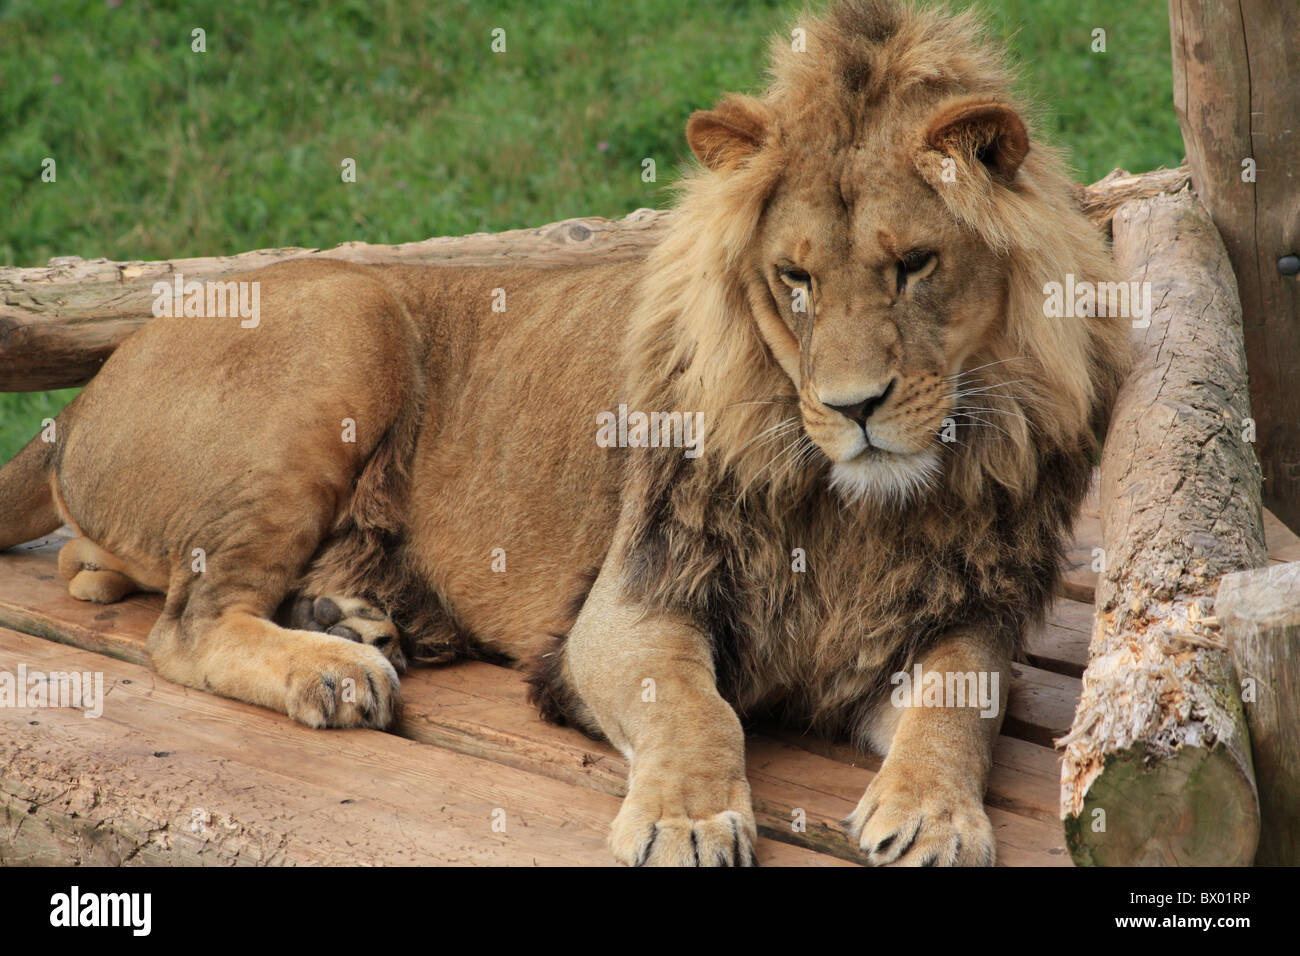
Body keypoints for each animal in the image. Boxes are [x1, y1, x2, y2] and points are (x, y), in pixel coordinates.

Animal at [0, 0, 1129, 866]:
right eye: (795, 279)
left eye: (914, 265)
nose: (854, 409)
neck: (859, 508)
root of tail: (96, 379)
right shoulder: (629, 604)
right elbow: (694, 705)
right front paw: (685, 818)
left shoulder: (955, 615)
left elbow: (960, 702)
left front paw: (933, 812)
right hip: (346, 326)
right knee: (184, 623)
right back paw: (335, 668)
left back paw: (353, 618)